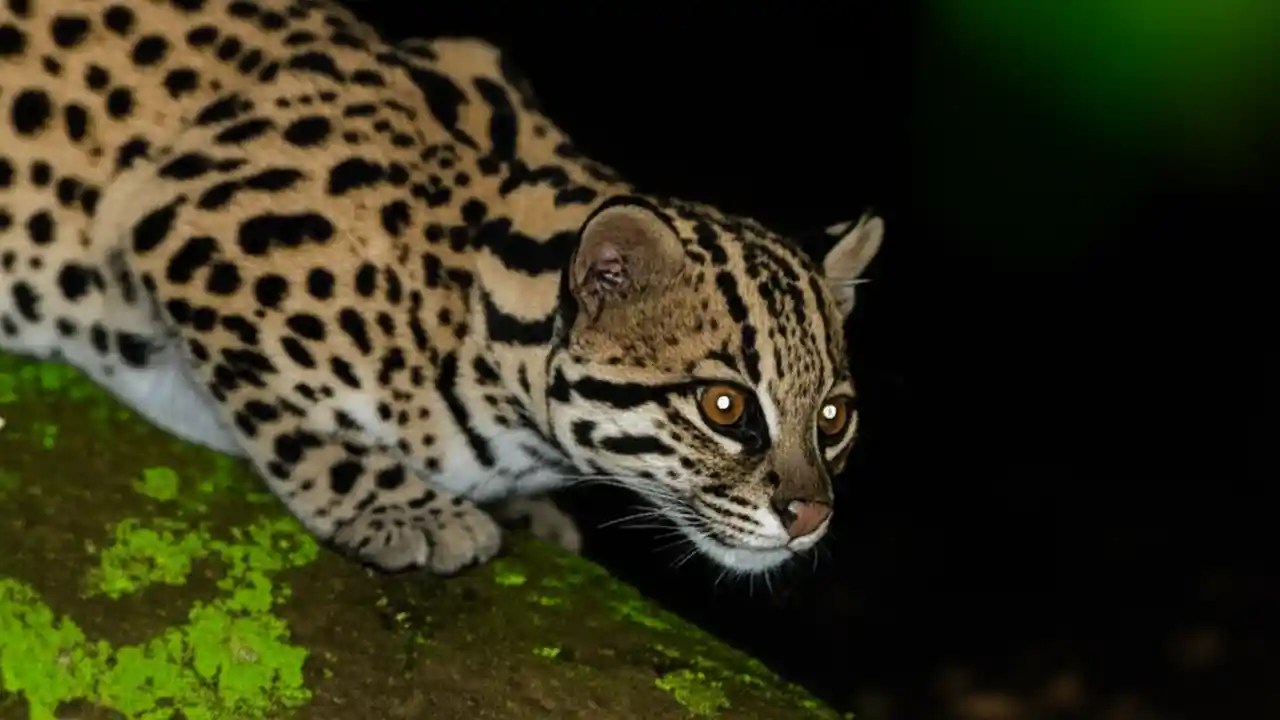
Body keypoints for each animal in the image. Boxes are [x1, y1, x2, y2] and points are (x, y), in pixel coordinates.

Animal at [0, 0, 885, 577]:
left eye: (834, 417)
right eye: (724, 407)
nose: (812, 516)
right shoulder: (181, 218)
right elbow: (295, 419)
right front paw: (406, 509)